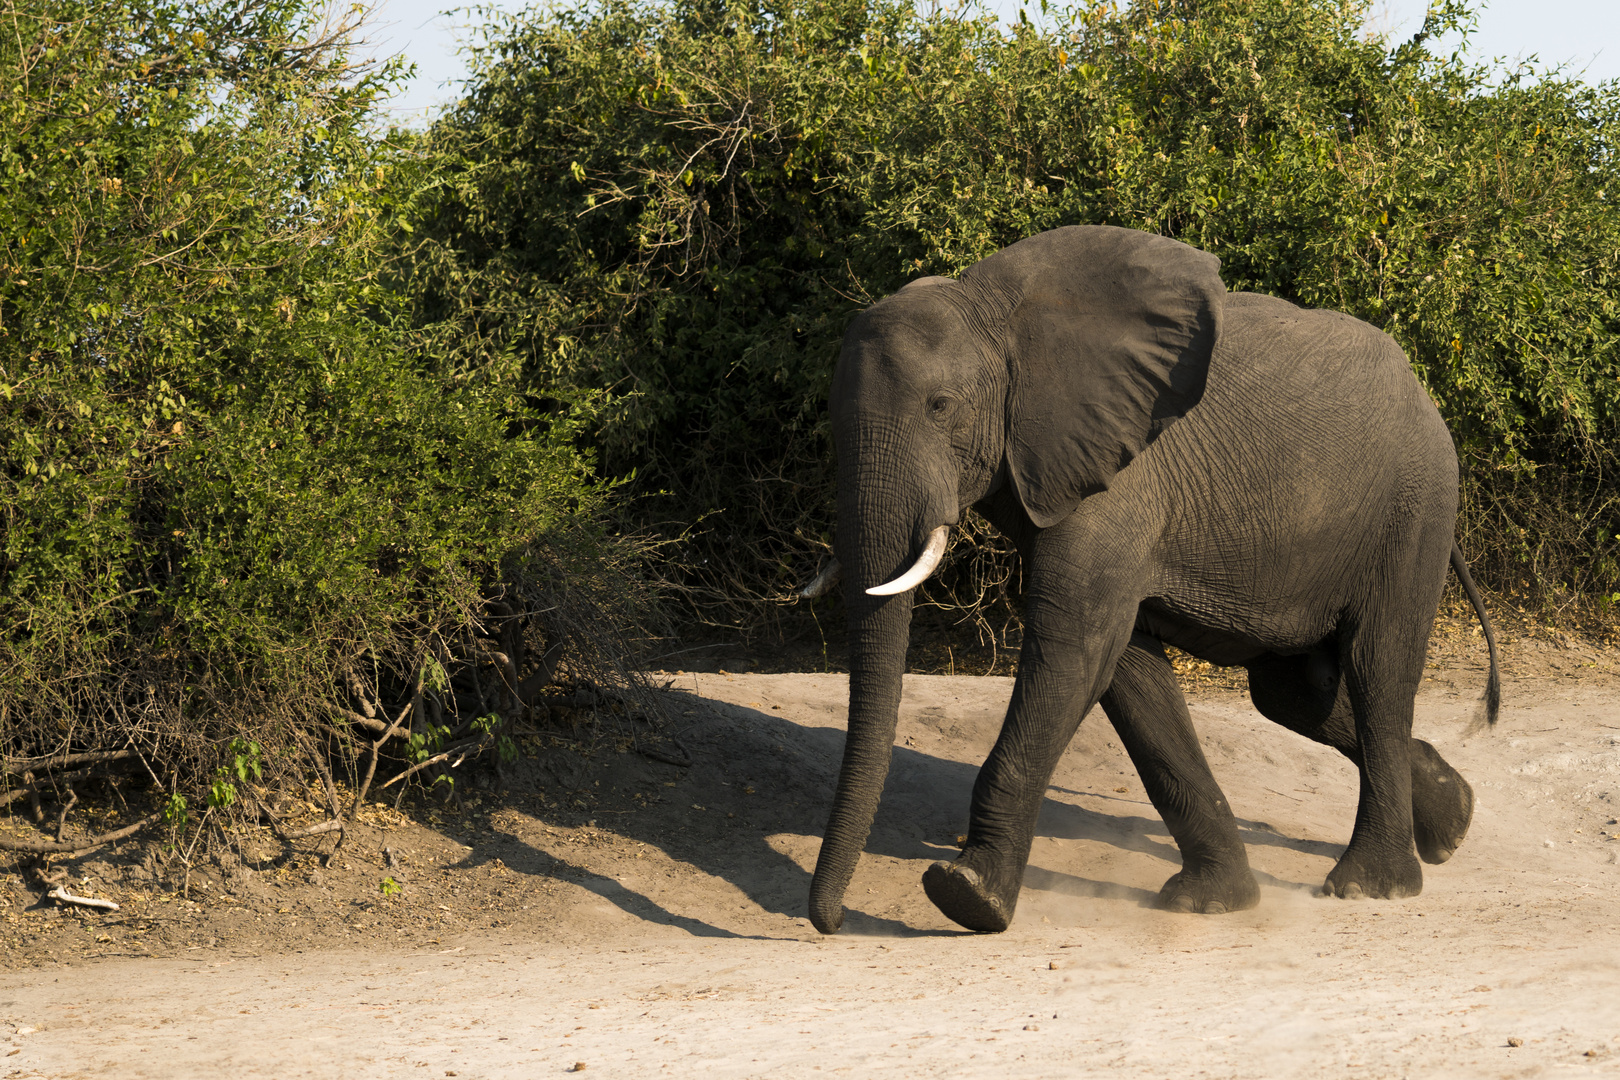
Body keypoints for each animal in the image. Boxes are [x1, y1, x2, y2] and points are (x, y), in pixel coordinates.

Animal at [803, 225, 1501, 935]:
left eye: (941, 407)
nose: (832, 924)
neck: (999, 314)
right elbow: (1126, 668)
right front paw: (1210, 901)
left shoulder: (1120, 480)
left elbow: (1073, 647)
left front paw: (966, 898)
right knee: (1291, 693)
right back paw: (1454, 818)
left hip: (1414, 507)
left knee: (1375, 668)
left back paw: (1370, 886)